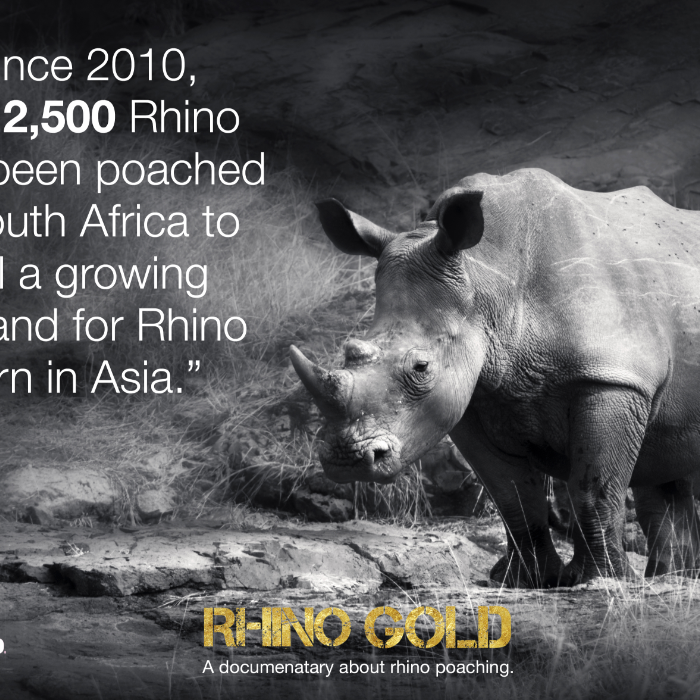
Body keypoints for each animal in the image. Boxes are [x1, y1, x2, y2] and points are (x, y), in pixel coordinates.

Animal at [290, 168, 700, 587]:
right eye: (348, 351)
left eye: (421, 368)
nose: (347, 459)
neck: (486, 280)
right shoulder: (474, 398)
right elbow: (512, 495)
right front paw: (524, 580)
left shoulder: (612, 377)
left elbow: (591, 487)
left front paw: (600, 580)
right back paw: (672, 578)